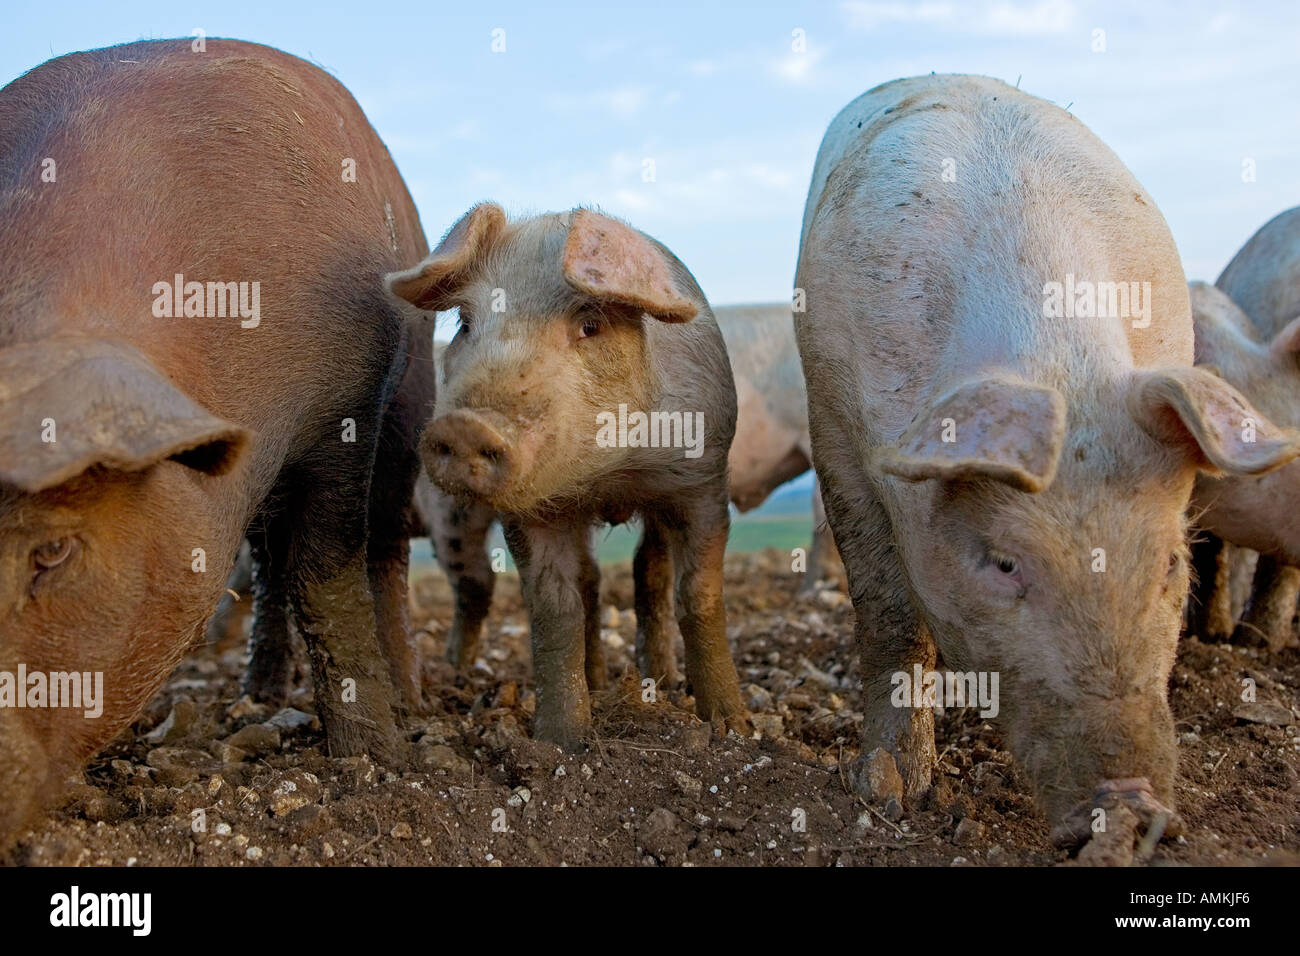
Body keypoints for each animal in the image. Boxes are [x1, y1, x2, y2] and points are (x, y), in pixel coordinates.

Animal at [0, 39, 432, 850]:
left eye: (54, 551)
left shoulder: (346, 406)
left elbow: (328, 578)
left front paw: (376, 759)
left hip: (413, 398)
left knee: (384, 548)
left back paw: (413, 703)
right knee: (265, 561)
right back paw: (253, 699)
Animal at [386, 204, 748, 748]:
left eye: (591, 324)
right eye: (466, 323)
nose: (465, 425)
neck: (609, 475)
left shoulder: (702, 480)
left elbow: (699, 597)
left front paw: (732, 726)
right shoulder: (533, 511)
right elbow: (555, 610)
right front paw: (562, 740)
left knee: (648, 570)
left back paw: (661, 681)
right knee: (588, 580)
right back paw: (594, 682)